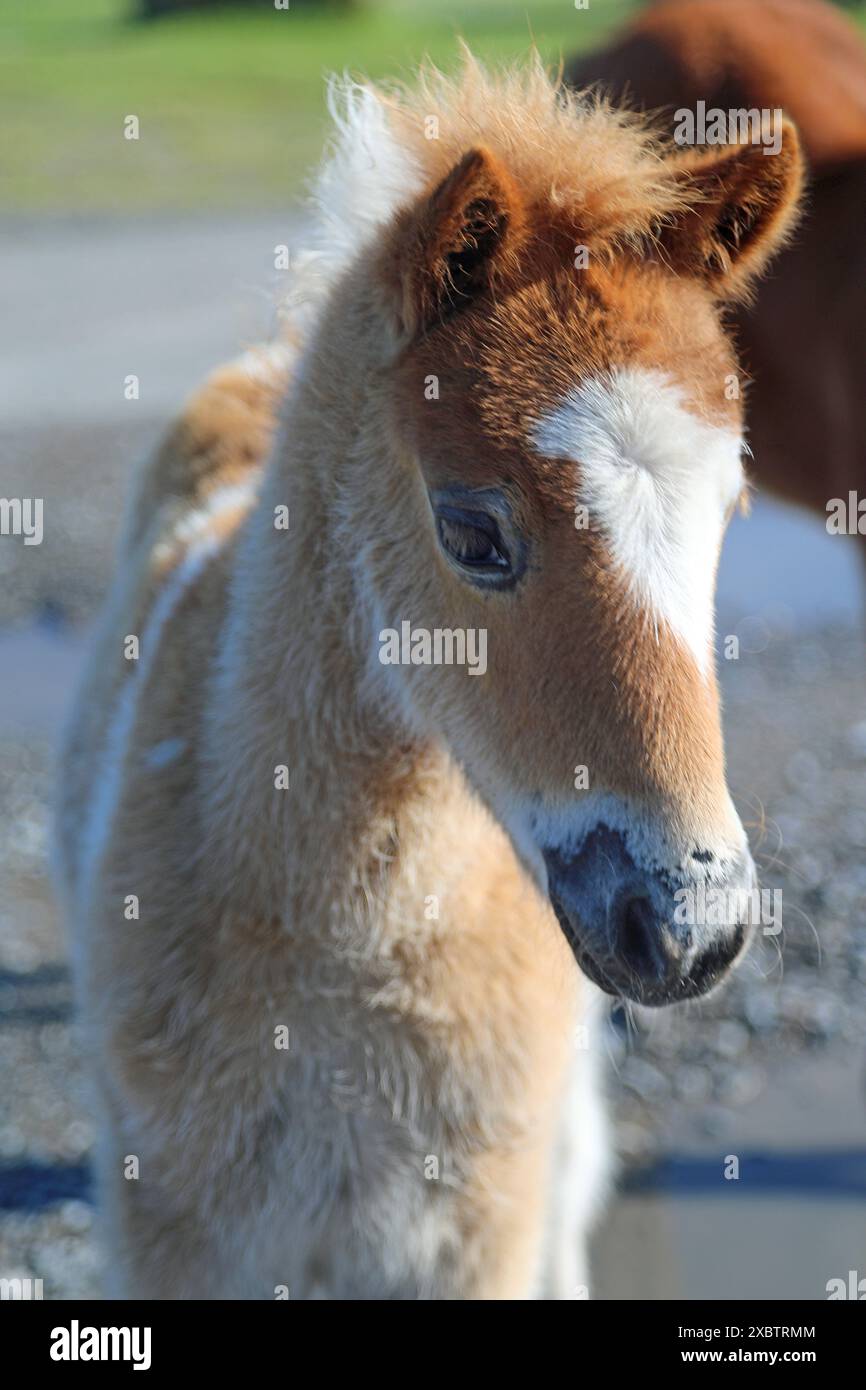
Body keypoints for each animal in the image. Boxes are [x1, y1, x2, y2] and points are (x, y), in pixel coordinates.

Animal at [54, 52, 802, 1299]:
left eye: (729, 509)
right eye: (470, 531)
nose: (690, 927)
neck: (340, 968)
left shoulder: (474, 1225)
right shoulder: (177, 1232)